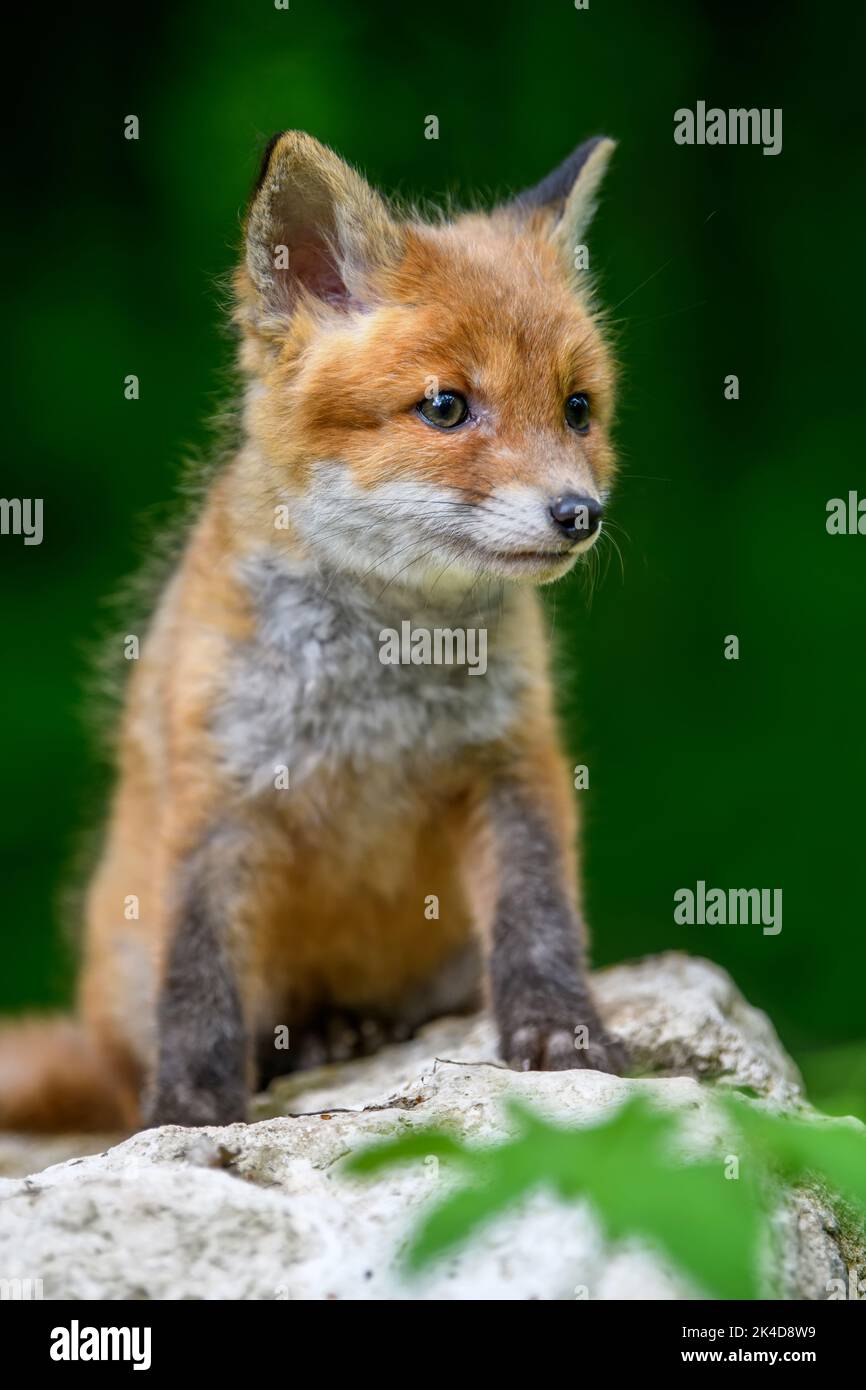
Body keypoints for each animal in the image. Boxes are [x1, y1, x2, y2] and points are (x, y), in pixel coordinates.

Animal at [0, 131, 627, 1132]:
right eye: (446, 407)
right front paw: (190, 1110)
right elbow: (200, 977)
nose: (580, 515)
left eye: (578, 408)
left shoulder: (512, 762)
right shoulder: (218, 796)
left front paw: (561, 1035)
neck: (383, 669)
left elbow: (540, 922)